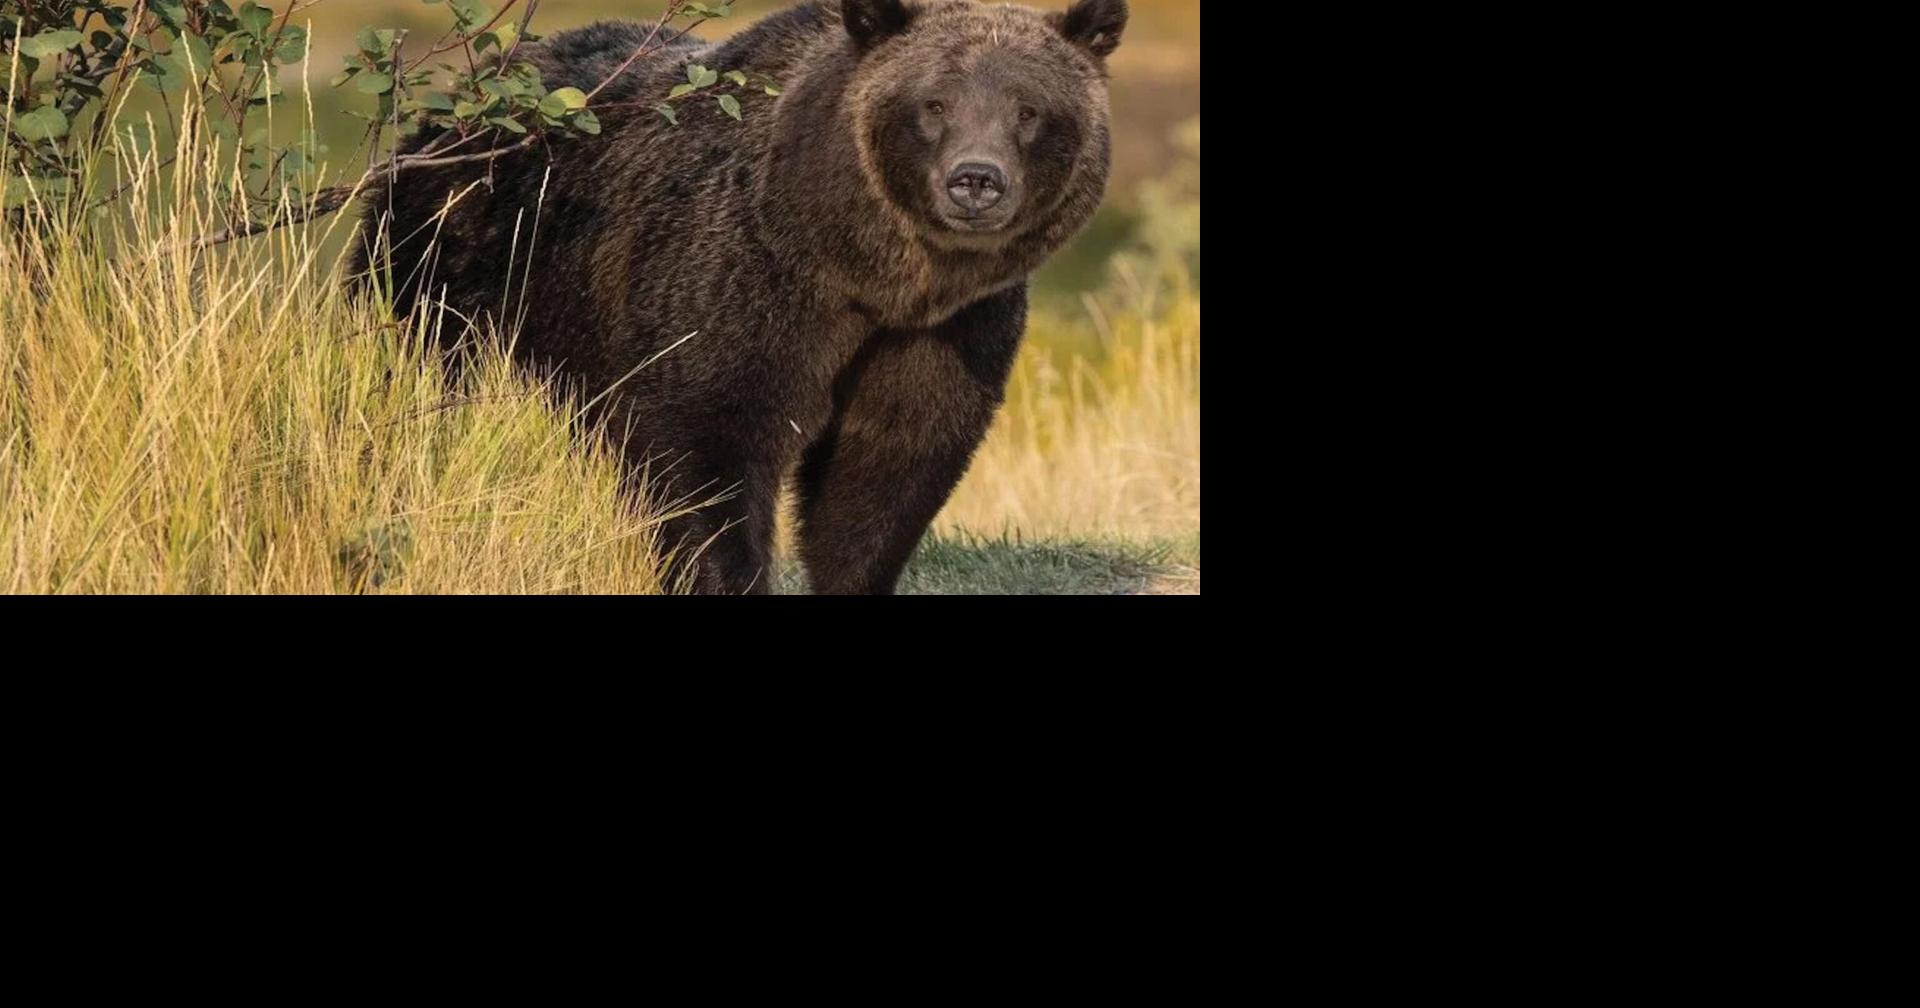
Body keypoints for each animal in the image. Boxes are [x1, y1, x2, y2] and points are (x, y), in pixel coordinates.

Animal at [349, 0, 1128, 594]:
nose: (975, 179)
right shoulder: (743, 285)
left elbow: (887, 468)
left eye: (1029, 110)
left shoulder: (948, 331)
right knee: (419, 383)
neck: (871, 273)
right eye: (934, 103)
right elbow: (707, 450)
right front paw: (724, 573)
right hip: (451, 262)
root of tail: (459, 101)